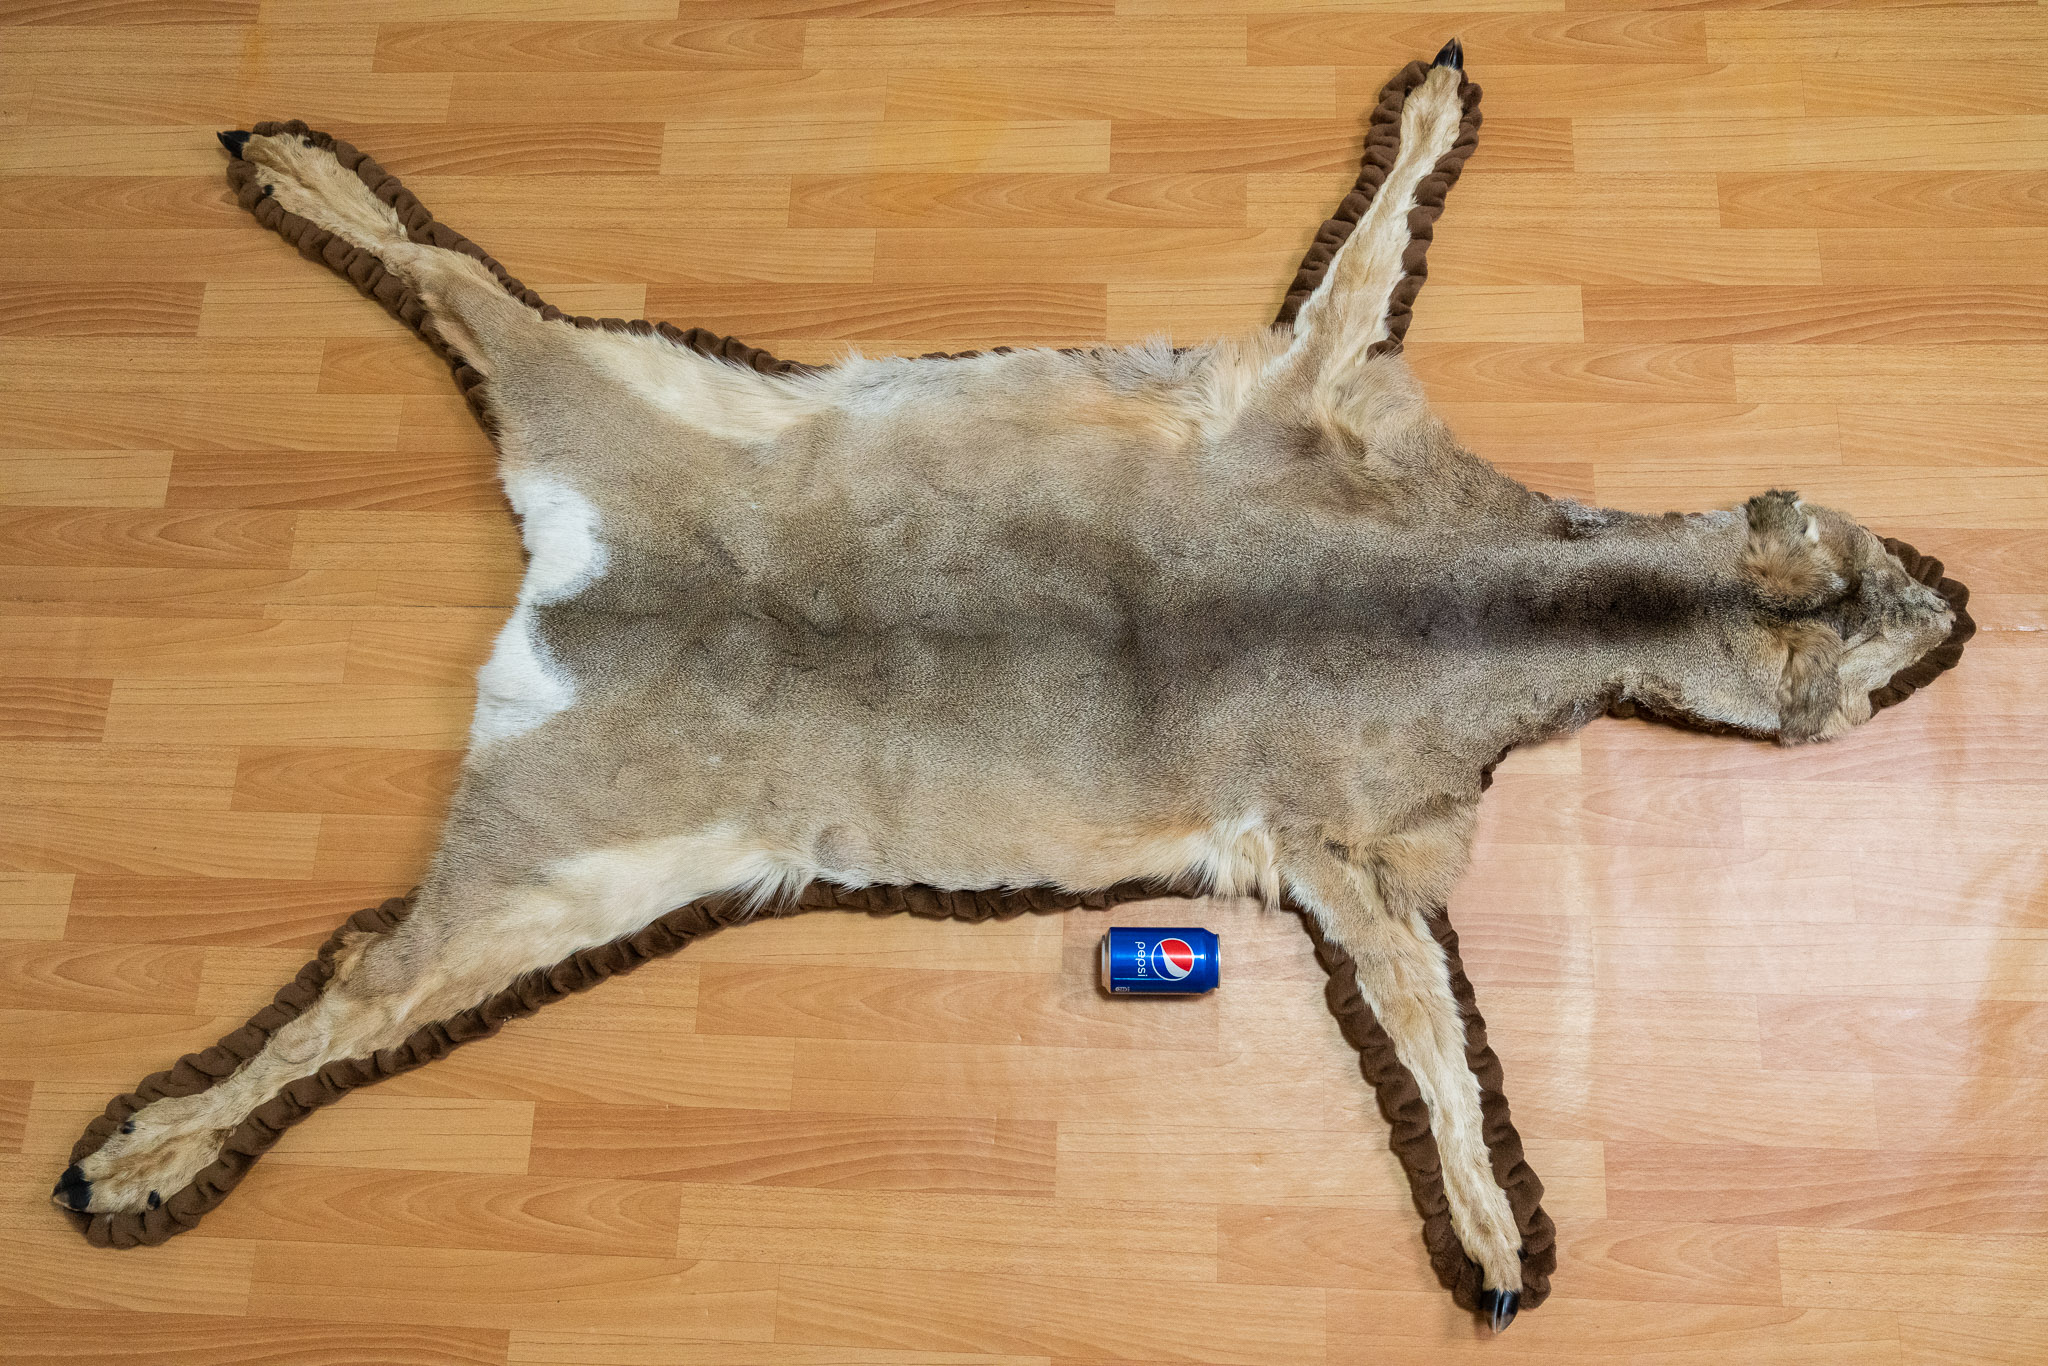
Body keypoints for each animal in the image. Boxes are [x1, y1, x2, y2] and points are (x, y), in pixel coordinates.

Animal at [51, 48, 1961, 1334]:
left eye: (1876, 571)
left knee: (476, 312)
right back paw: (139, 1155)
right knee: (362, 979)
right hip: (573, 800)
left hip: (615, 724)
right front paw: (1492, 1235)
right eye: (1876, 644)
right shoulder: (1332, 515)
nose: (1958, 602)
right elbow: (1437, 1054)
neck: (1528, 600)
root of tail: (560, 600)